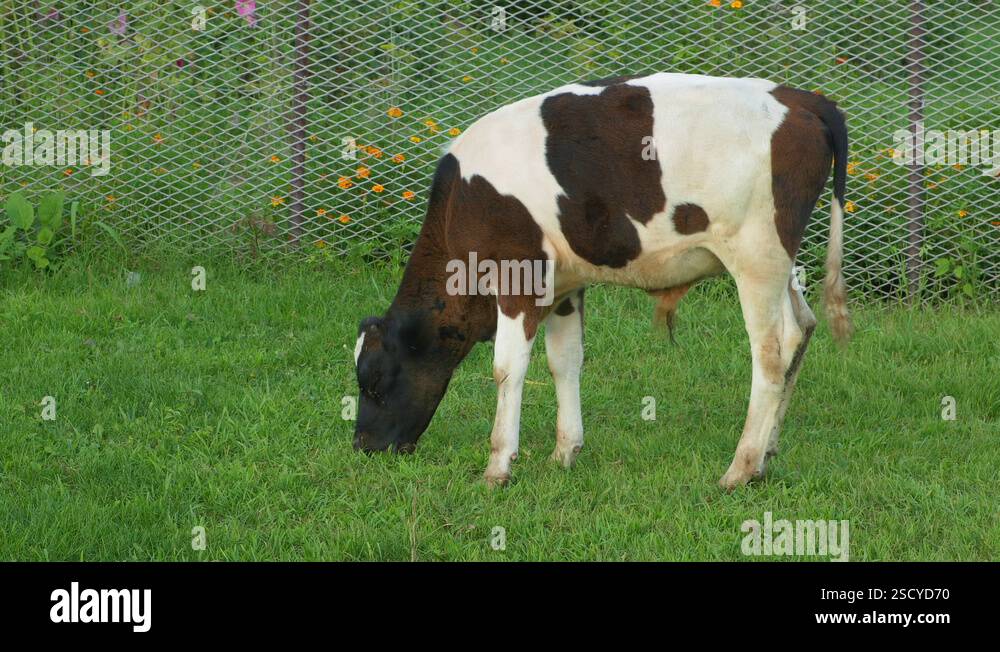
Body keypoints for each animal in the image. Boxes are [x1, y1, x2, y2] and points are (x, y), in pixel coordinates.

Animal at [353, 72, 850, 490]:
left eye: (373, 380)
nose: (363, 447)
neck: (464, 200)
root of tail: (802, 98)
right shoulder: (564, 285)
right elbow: (564, 361)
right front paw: (563, 453)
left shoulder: (518, 274)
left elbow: (507, 368)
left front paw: (497, 466)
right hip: (778, 265)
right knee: (802, 328)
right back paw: (766, 456)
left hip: (757, 256)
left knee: (771, 353)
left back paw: (740, 468)